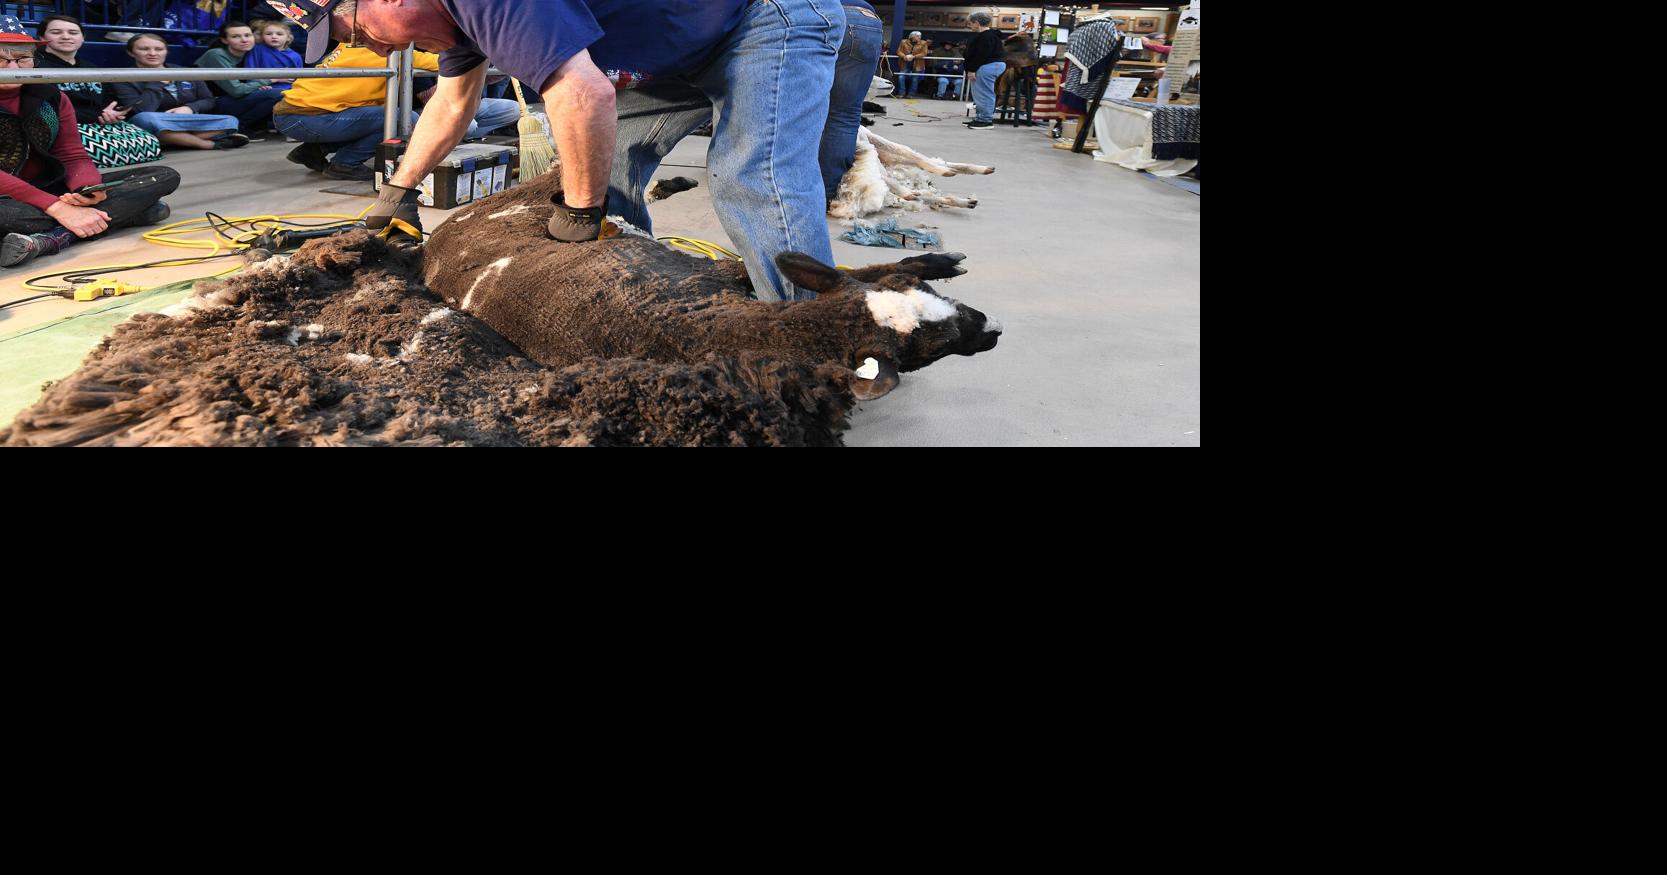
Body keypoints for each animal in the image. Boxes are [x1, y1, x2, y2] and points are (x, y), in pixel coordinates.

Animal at [423, 171, 1002, 402]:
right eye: (941, 345)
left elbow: (846, 275)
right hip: (544, 194)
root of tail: (447, 227)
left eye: (912, 284)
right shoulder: (717, 280)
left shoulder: (717, 275)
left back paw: (674, 182)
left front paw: (936, 260)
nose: (990, 325)